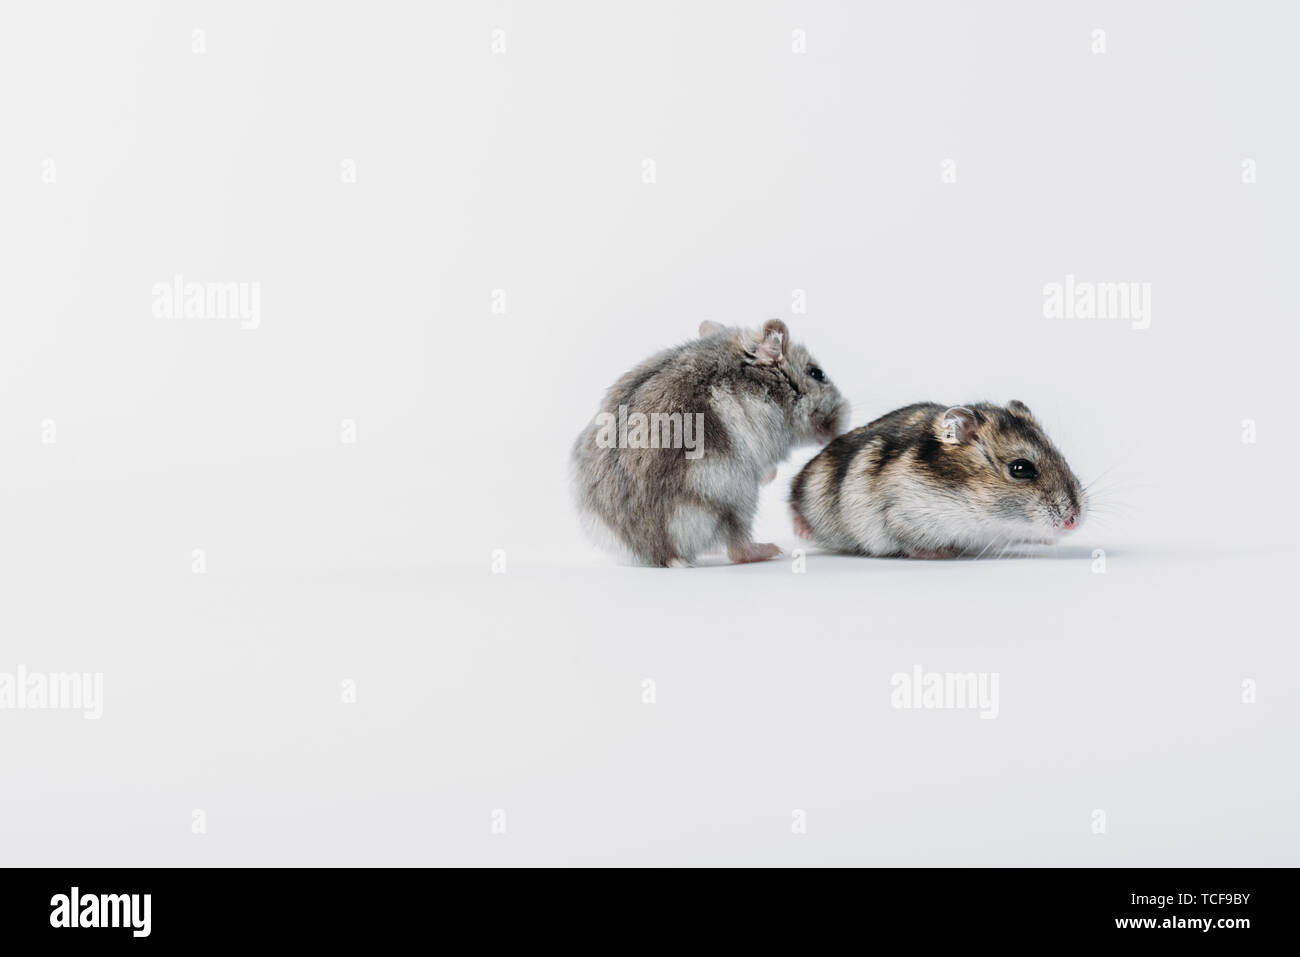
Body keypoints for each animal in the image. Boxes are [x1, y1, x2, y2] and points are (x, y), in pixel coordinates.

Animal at [572, 319, 849, 566]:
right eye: (818, 374)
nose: (844, 422)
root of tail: (663, 553)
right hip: (736, 497)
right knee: (738, 549)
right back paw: (770, 550)